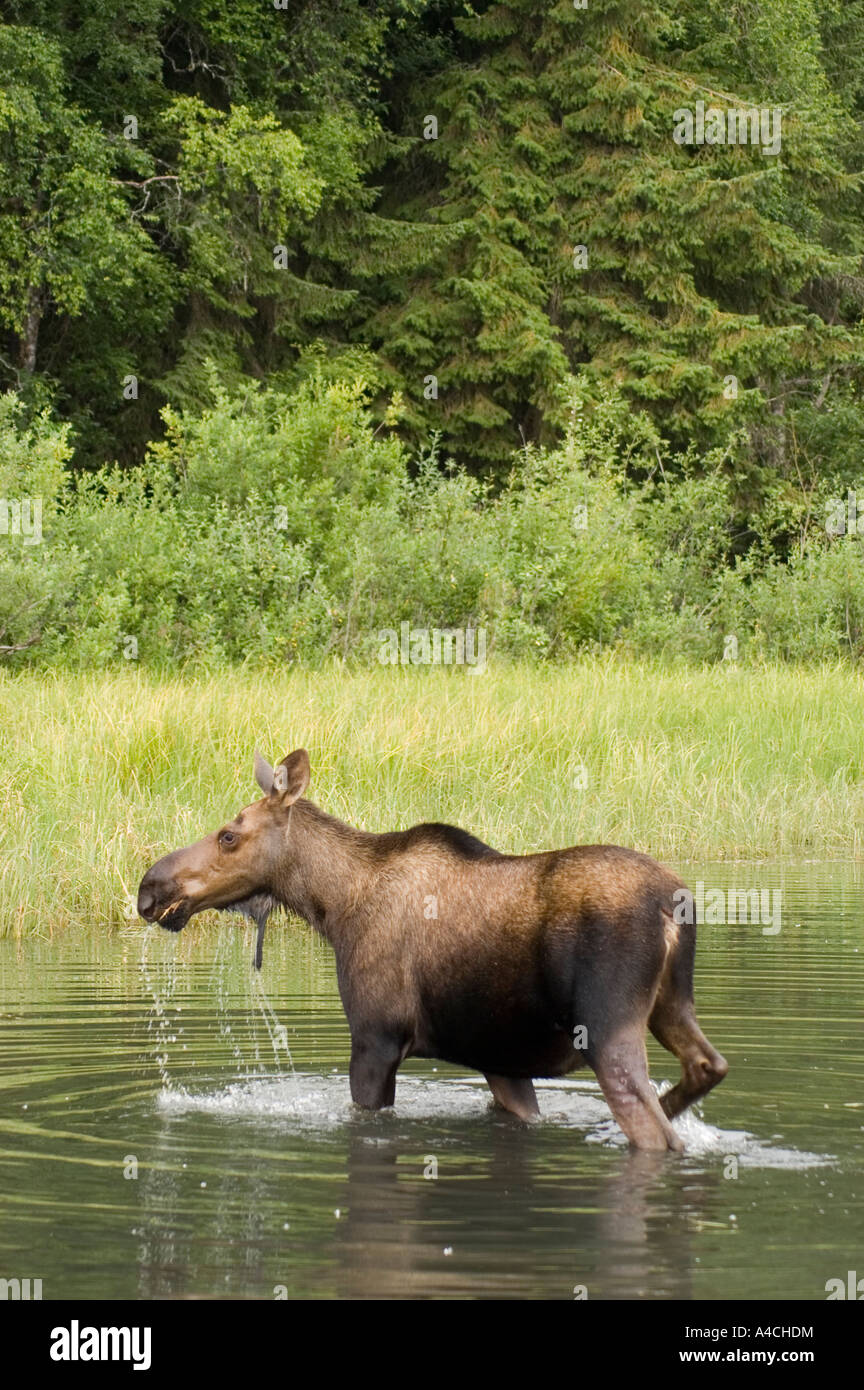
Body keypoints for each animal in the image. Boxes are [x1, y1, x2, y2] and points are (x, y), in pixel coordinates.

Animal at [137, 748, 728, 1151]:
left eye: (228, 836)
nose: (149, 889)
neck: (334, 907)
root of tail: (671, 904)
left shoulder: (375, 1038)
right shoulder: (501, 1062)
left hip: (607, 1028)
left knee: (656, 1130)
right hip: (672, 1004)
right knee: (709, 1065)